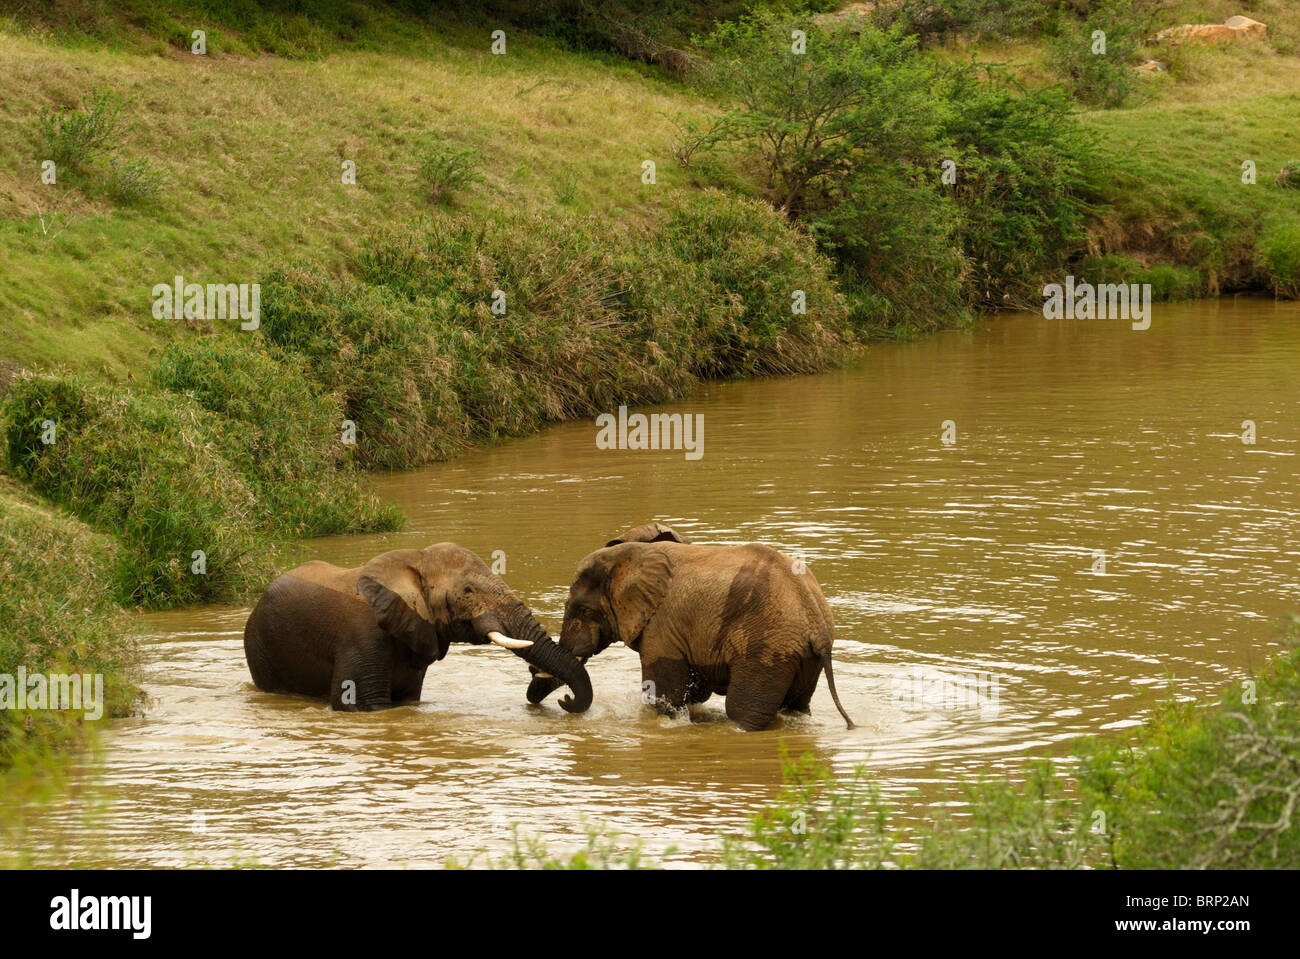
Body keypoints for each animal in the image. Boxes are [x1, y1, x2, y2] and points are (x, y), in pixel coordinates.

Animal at [527, 535, 855, 731]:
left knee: (742, 710)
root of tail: (814, 616)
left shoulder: (662, 624)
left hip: (767, 649)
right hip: (802, 655)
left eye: (582, 610)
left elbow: (665, 693)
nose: (565, 700)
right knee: (796, 706)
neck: (630, 557)